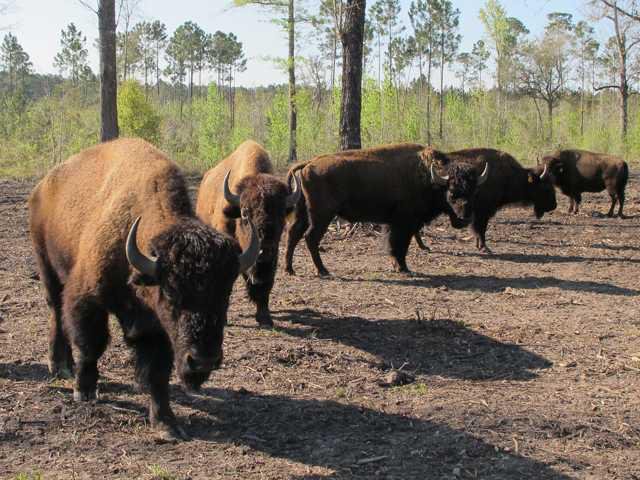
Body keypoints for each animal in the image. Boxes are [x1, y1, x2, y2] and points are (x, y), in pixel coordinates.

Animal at [29, 138, 259, 440]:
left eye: (226, 293)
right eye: (171, 292)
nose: (204, 361)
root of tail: (43, 186)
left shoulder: (156, 325)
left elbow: (157, 371)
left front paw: (166, 423)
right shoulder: (87, 299)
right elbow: (92, 346)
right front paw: (84, 390)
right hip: (47, 267)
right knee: (56, 313)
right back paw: (60, 366)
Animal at [196, 140, 300, 326]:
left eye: (281, 213)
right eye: (244, 213)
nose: (264, 248)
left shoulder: (271, 258)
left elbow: (266, 283)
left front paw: (265, 317)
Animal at [284, 143, 486, 276]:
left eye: (474, 191)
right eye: (451, 193)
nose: (464, 219)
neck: (430, 178)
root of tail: (309, 163)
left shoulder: (397, 223)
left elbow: (394, 244)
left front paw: (397, 266)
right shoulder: (404, 223)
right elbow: (399, 245)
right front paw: (403, 268)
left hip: (303, 213)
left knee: (293, 235)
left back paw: (290, 269)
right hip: (322, 216)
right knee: (310, 237)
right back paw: (323, 270)